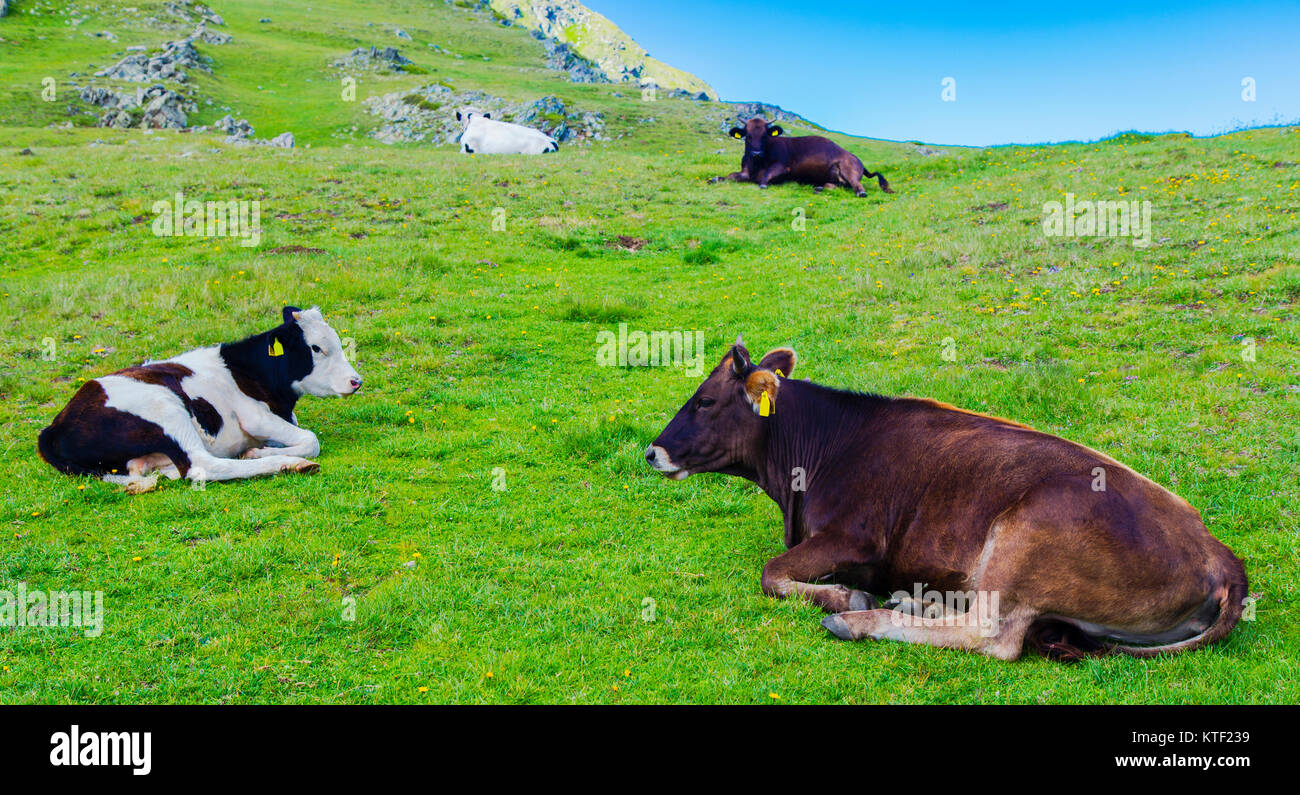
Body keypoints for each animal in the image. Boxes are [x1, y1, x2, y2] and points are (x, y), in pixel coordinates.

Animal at [38, 306, 361, 493]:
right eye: (316, 348)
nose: (355, 381)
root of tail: (54, 426)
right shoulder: (255, 417)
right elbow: (311, 439)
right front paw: (259, 453)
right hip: (165, 407)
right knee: (202, 466)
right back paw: (289, 464)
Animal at [645, 339, 1248, 661]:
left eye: (704, 401)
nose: (652, 451)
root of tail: (1220, 555)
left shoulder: (854, 539)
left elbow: (771, 573)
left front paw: (843, 599)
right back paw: (918, 602)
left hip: (1026, 534)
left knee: (991, 634)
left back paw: (862, 620)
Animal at [721, 117, 892, 196]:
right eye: (748, 136)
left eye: (764, 136)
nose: (756, 153)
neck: (757, 164)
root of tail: (857, 159)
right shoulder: (745, 171)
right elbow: (732, 176)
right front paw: (718, 178)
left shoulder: (783, 166)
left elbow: (768, 174)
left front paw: (763, 184)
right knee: (839, 185)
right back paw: (819, 187)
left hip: (848, 169)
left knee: (855, 185)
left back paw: (860, 192)